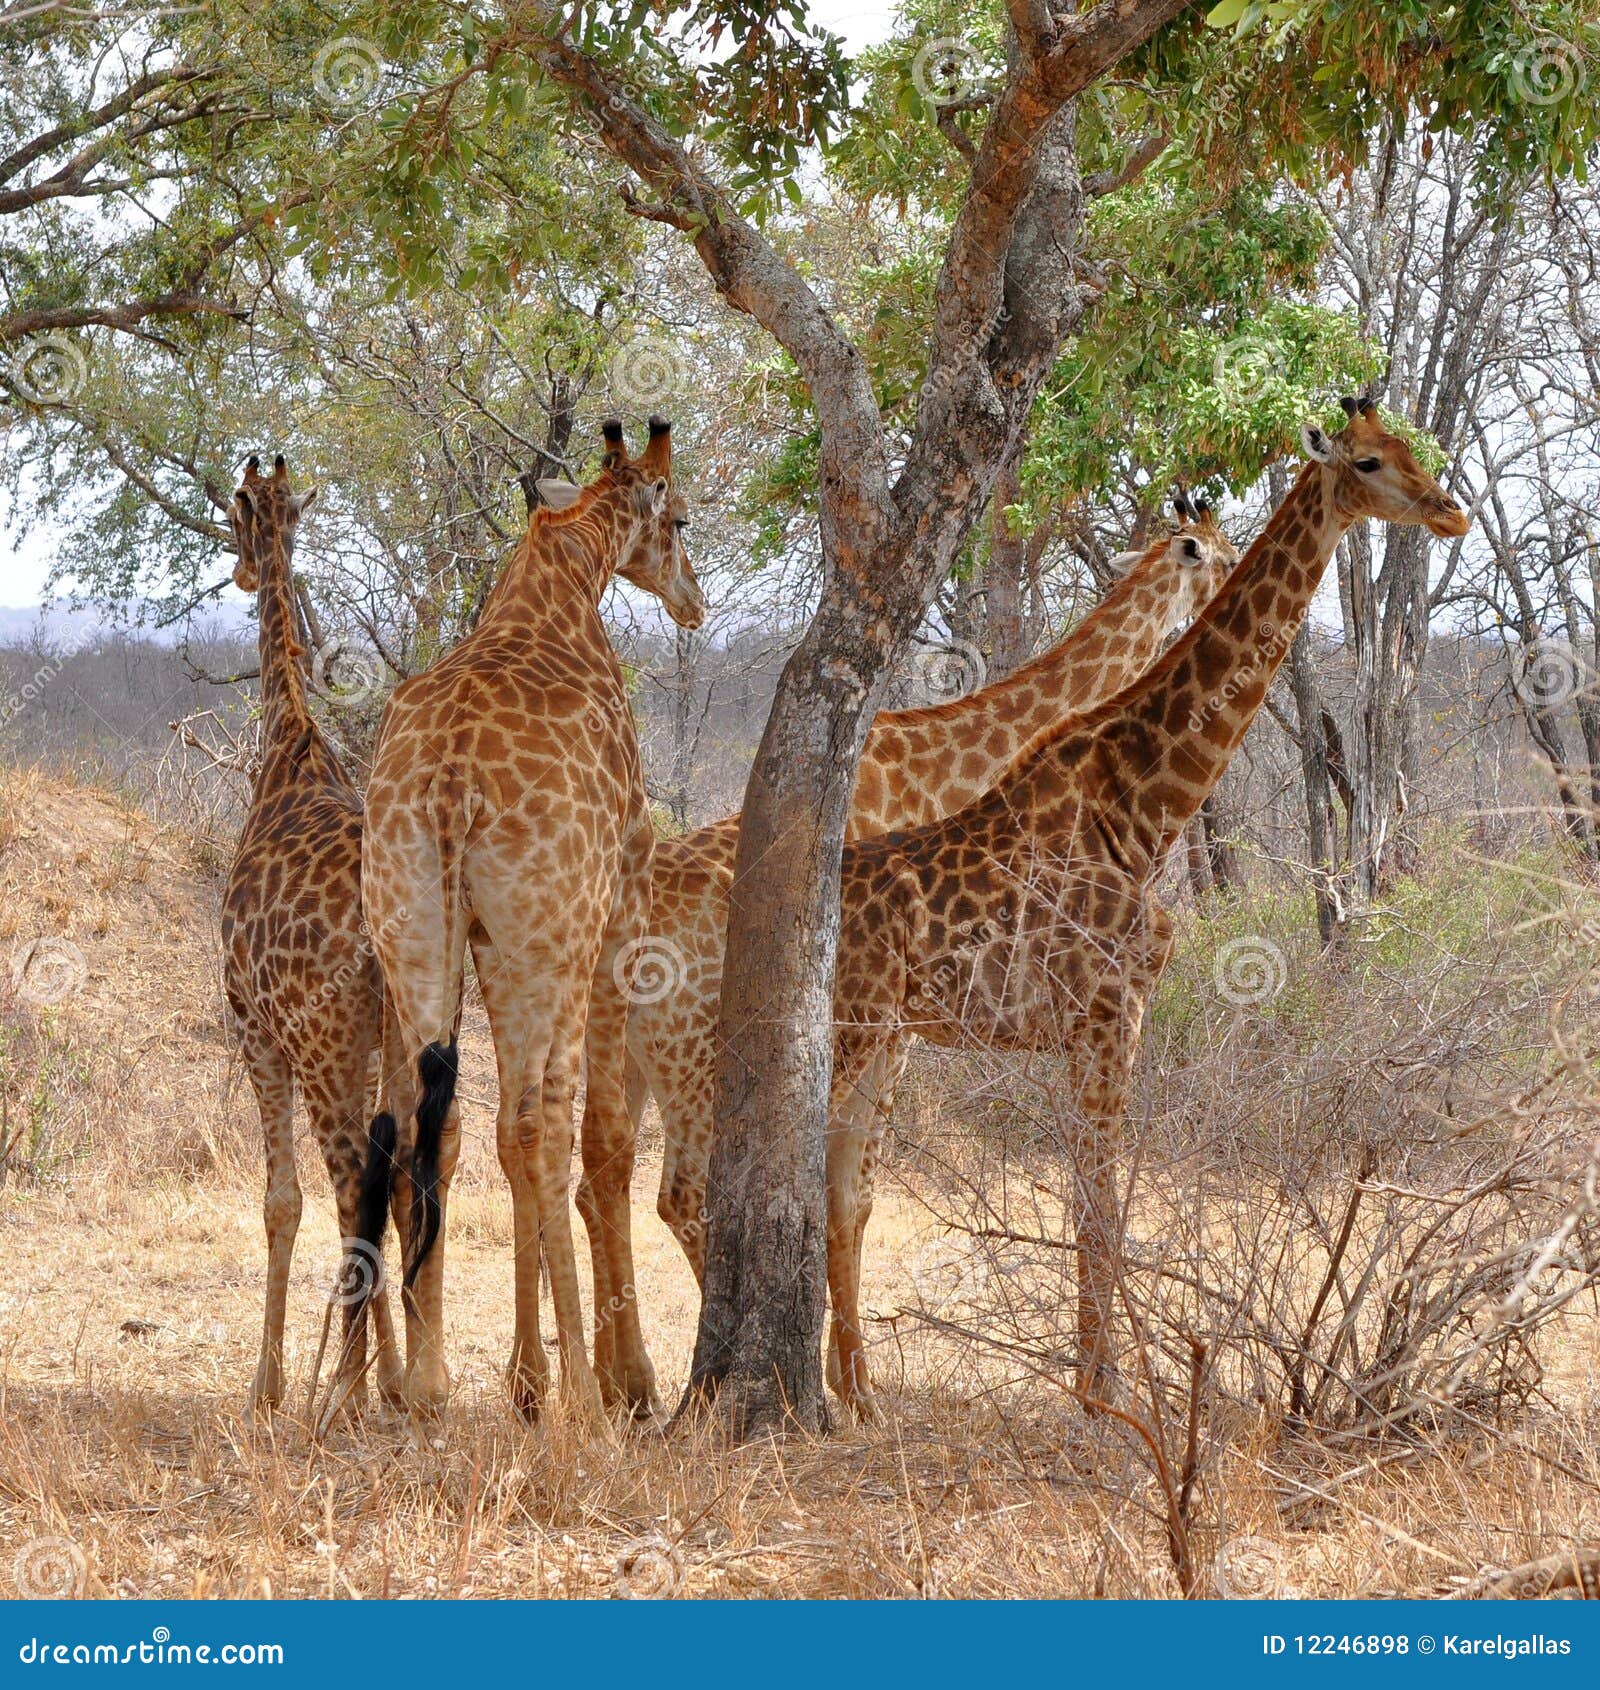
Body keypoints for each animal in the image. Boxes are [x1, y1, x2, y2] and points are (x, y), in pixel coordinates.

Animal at [356, 417, 705, 1423]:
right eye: (679, 516)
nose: (696, 602)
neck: (558, 578)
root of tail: (451, 779)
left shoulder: (482, 939)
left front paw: (523, 1379)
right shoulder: (620, 908)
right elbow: (605, 1137)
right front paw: (620, 1379)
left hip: (417, 935)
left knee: (431, 1124)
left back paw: (430, 1381)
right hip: (548, 943)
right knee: (537, 1126)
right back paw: (584, 1394)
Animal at [816, 399, 1469, 1408]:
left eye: (1407, 445)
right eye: (1367, 462)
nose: (1452, 514)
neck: (1141, 807)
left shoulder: (1108, 1018)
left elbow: (1102, 1198)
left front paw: (1100, 1381)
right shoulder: (1104, 1012)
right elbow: (1099, 1200)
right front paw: (1103, 1392)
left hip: (887, 1036)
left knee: (839, 1185)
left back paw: (855, 1394)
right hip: (850, 1031)